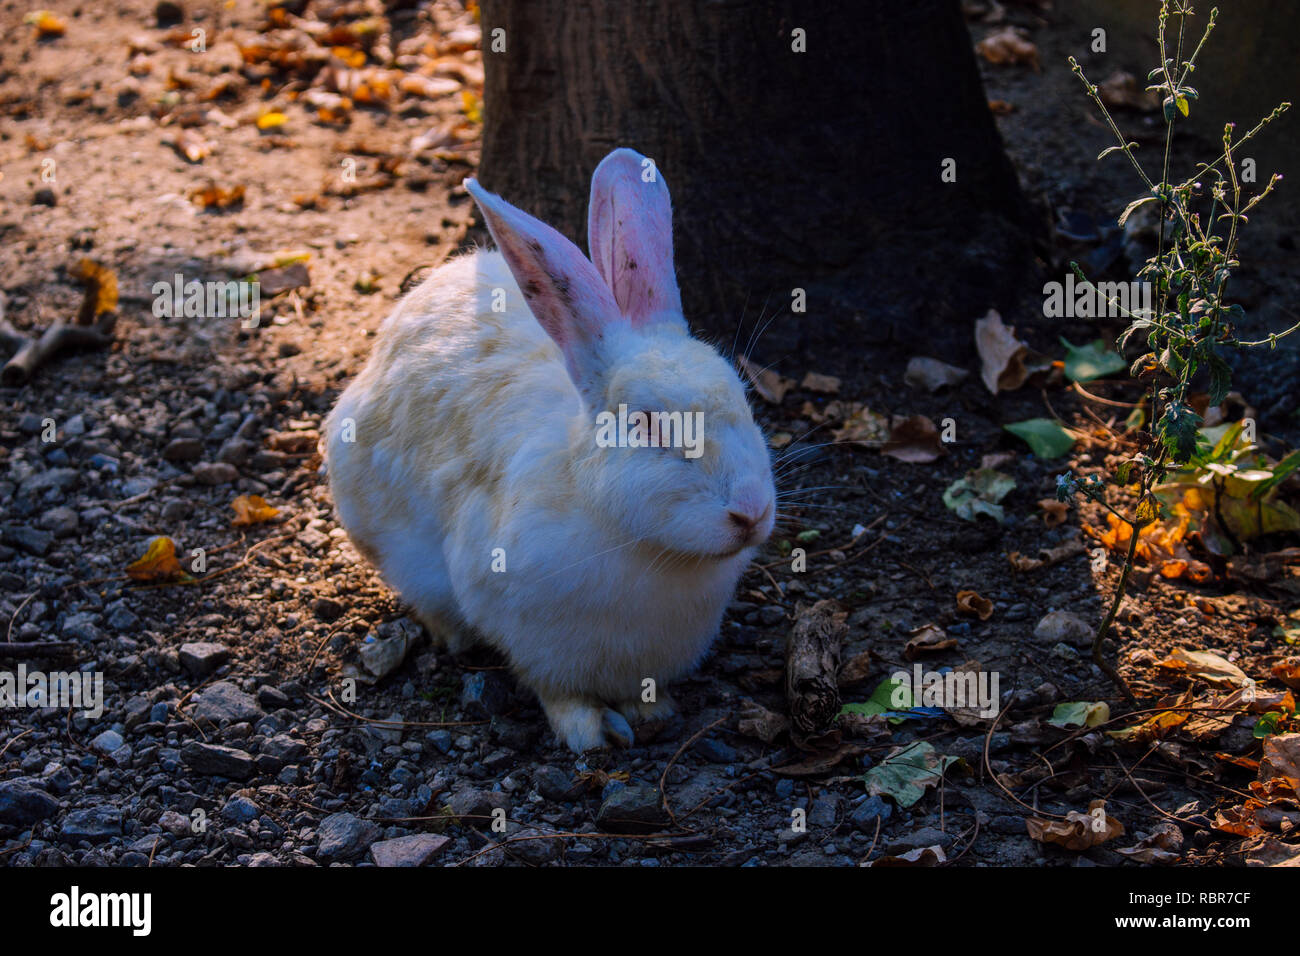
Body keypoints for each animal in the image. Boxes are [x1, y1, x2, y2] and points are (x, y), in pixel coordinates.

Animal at [324, 147, 776, 752]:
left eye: (743, 399)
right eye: (646, 424)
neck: (642, 544)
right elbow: (558, 693)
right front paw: (590, 733)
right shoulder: (532, 637)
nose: (750, 513)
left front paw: (651, 712)